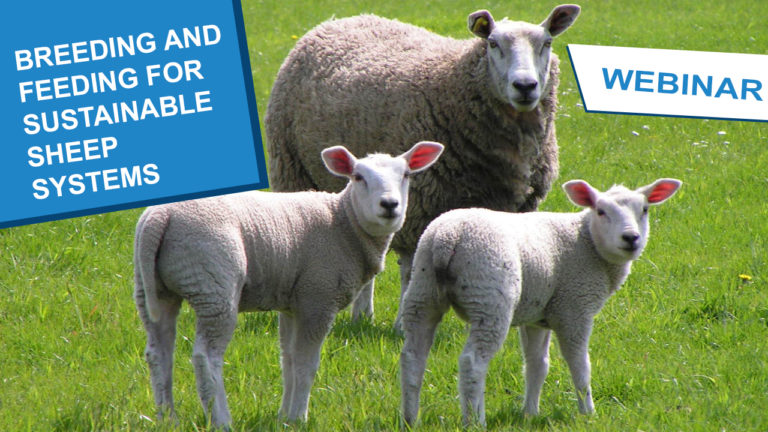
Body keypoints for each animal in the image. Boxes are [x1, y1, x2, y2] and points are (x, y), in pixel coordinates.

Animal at [133, 141, 443, 428]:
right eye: (358, 177)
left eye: (406, 175)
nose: (389, 205)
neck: (343, 222)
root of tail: (161, 216)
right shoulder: (318, 298)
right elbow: (307, 364)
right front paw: (299, 417)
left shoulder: (295, 302)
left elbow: (289, 360)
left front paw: (284, 416)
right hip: (215, 284)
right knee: (205, 357)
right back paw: (221, 420)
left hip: (153, 288)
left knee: (158, 353)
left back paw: (167, 418)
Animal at [265, 5, 581, 324]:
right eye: (492, 43)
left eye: (547, 43)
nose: (525, 86)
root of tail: (342, 19)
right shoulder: (417, 208)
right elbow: (412, 270)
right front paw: (404, 324)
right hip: (293, 170)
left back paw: (362, 316)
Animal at [399, 178, 682, 427]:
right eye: (601, 211)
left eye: (644, 210)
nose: (631, 238)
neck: (586, 243)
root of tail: (447, 238)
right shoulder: (574, 308)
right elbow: (580, 365)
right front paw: (588, 413)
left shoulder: (537, 317)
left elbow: (537, 365)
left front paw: (530, 413)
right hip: (490, 297)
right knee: (472, 362)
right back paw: (475, 421)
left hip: (422, 290)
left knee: (413, 357)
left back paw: (410, 419)